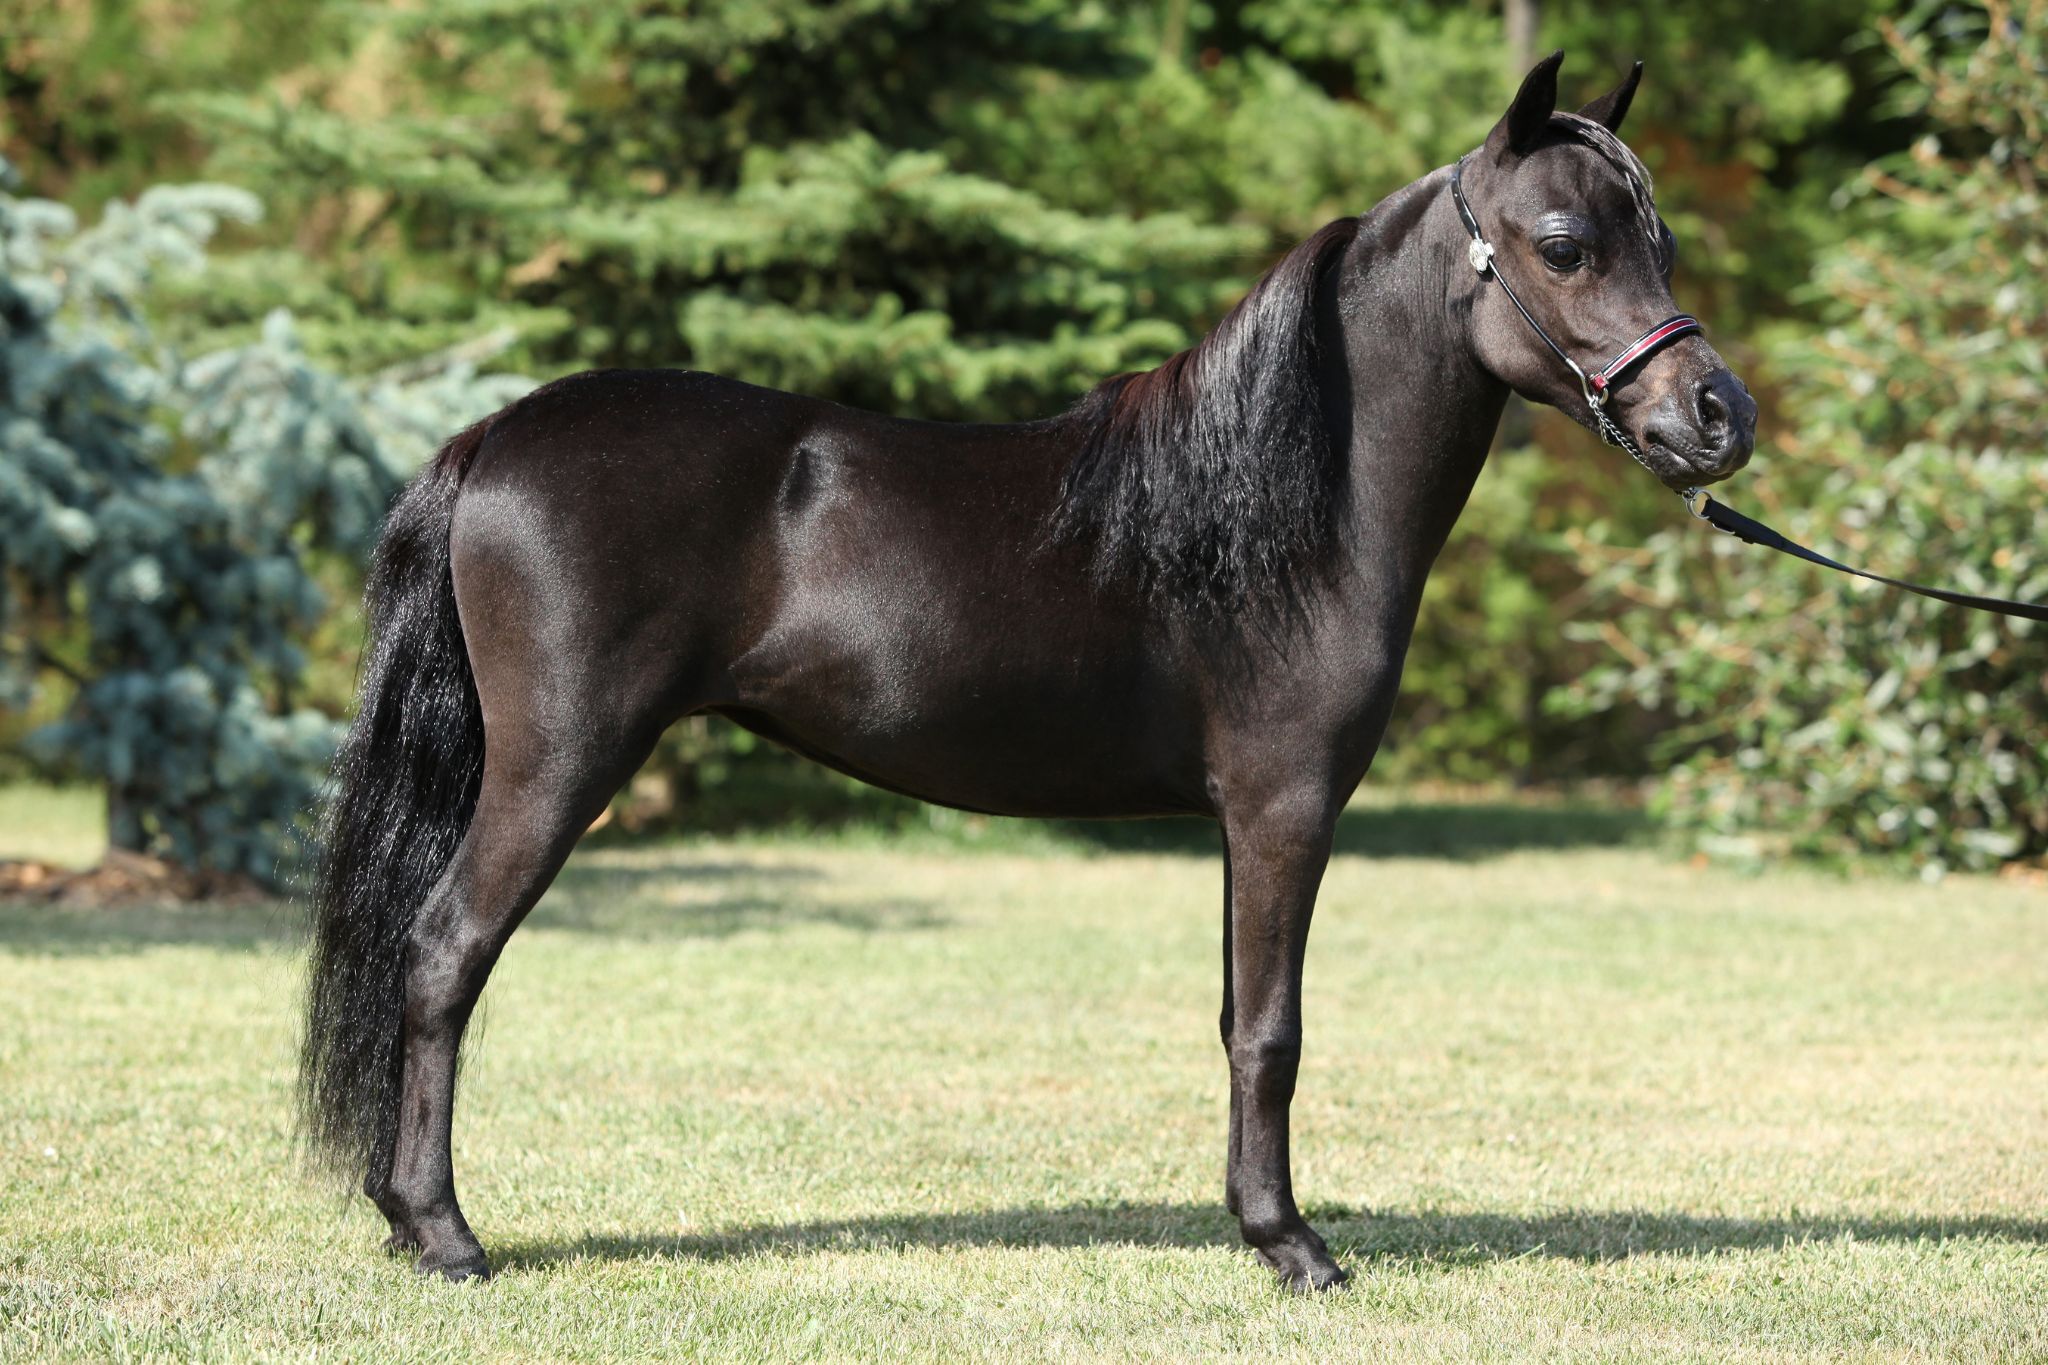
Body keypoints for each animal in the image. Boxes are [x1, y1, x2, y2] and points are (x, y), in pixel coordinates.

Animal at [301, 51, 1757, 1292]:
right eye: (1563, 245)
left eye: (1662, 243)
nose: (1718, 417)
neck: (1284, 508)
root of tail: (496, 436)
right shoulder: (1283, 810)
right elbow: (1271, 1030)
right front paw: (1291, 1245)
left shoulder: (1242, 825)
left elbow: (1234, 1019)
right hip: (555, 766)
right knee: (443, 954)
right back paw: (443, 1234)